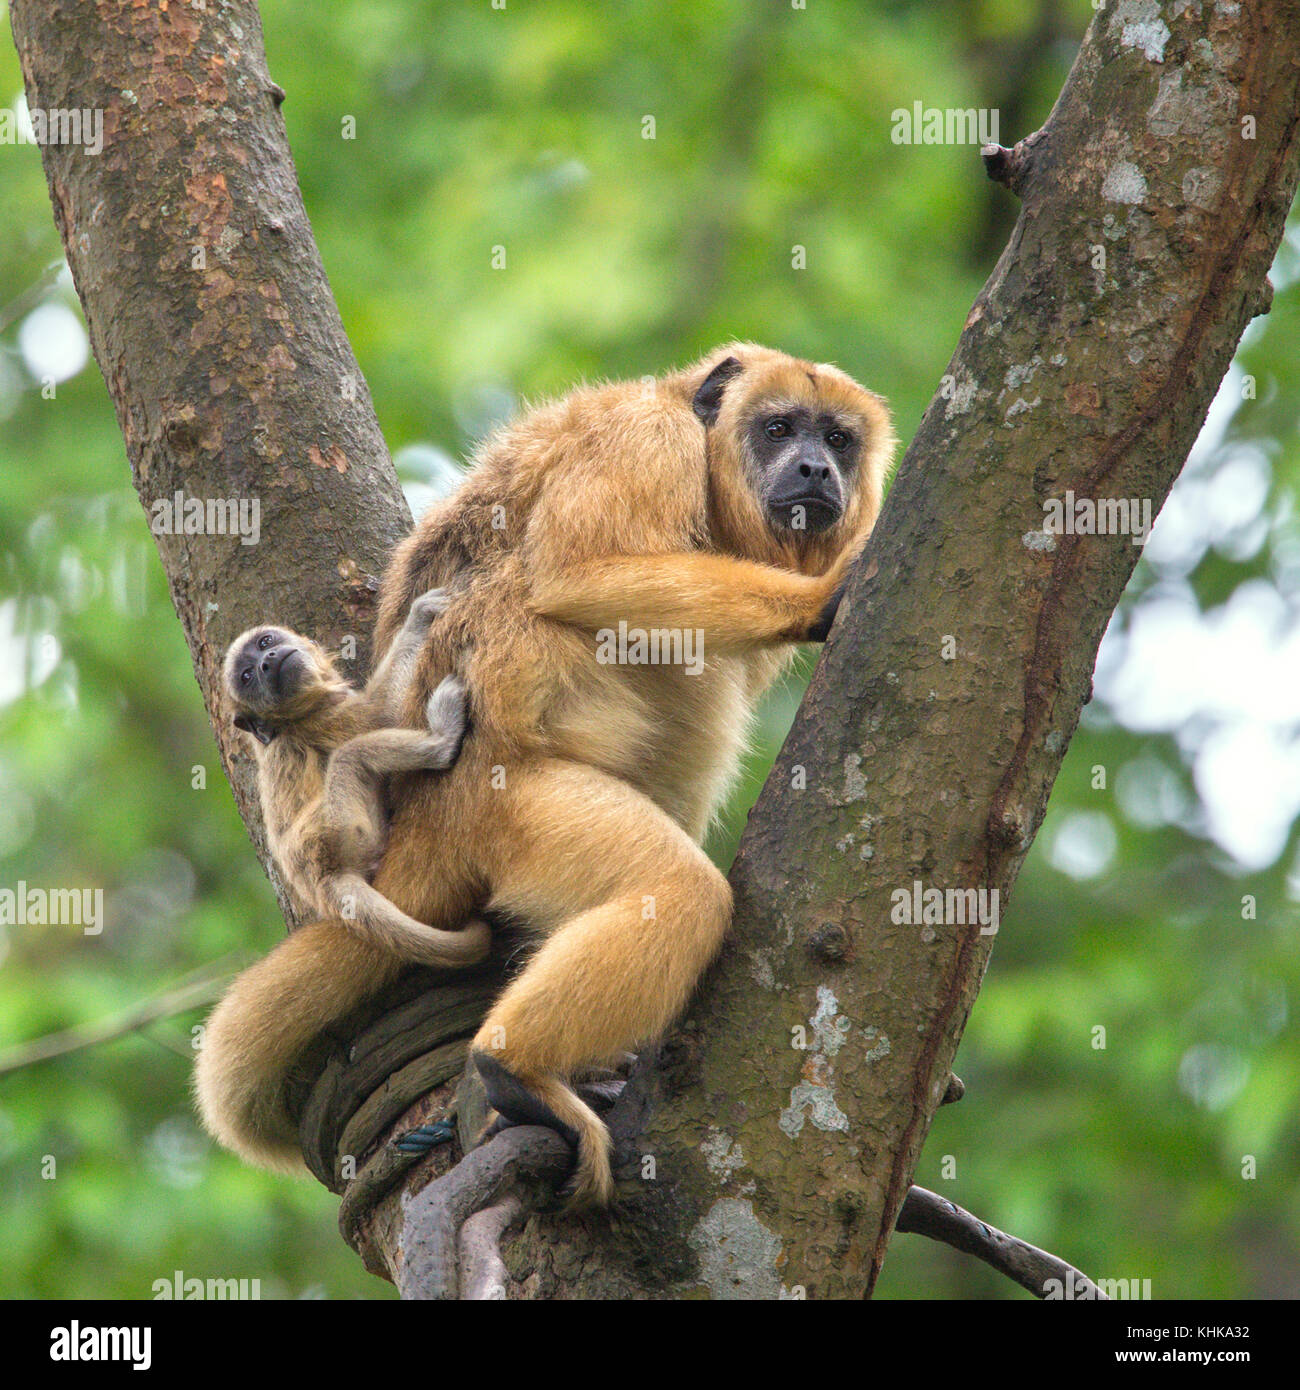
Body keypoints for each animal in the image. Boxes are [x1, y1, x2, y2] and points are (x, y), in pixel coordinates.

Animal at [195, 343, 894, 1195]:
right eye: (779, 428)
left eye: (840, 440)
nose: (816, 468)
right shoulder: (644, 439)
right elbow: (580, 574)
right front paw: (821, 597)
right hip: (506, 805)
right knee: (678, 889)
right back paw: (514, 1069)